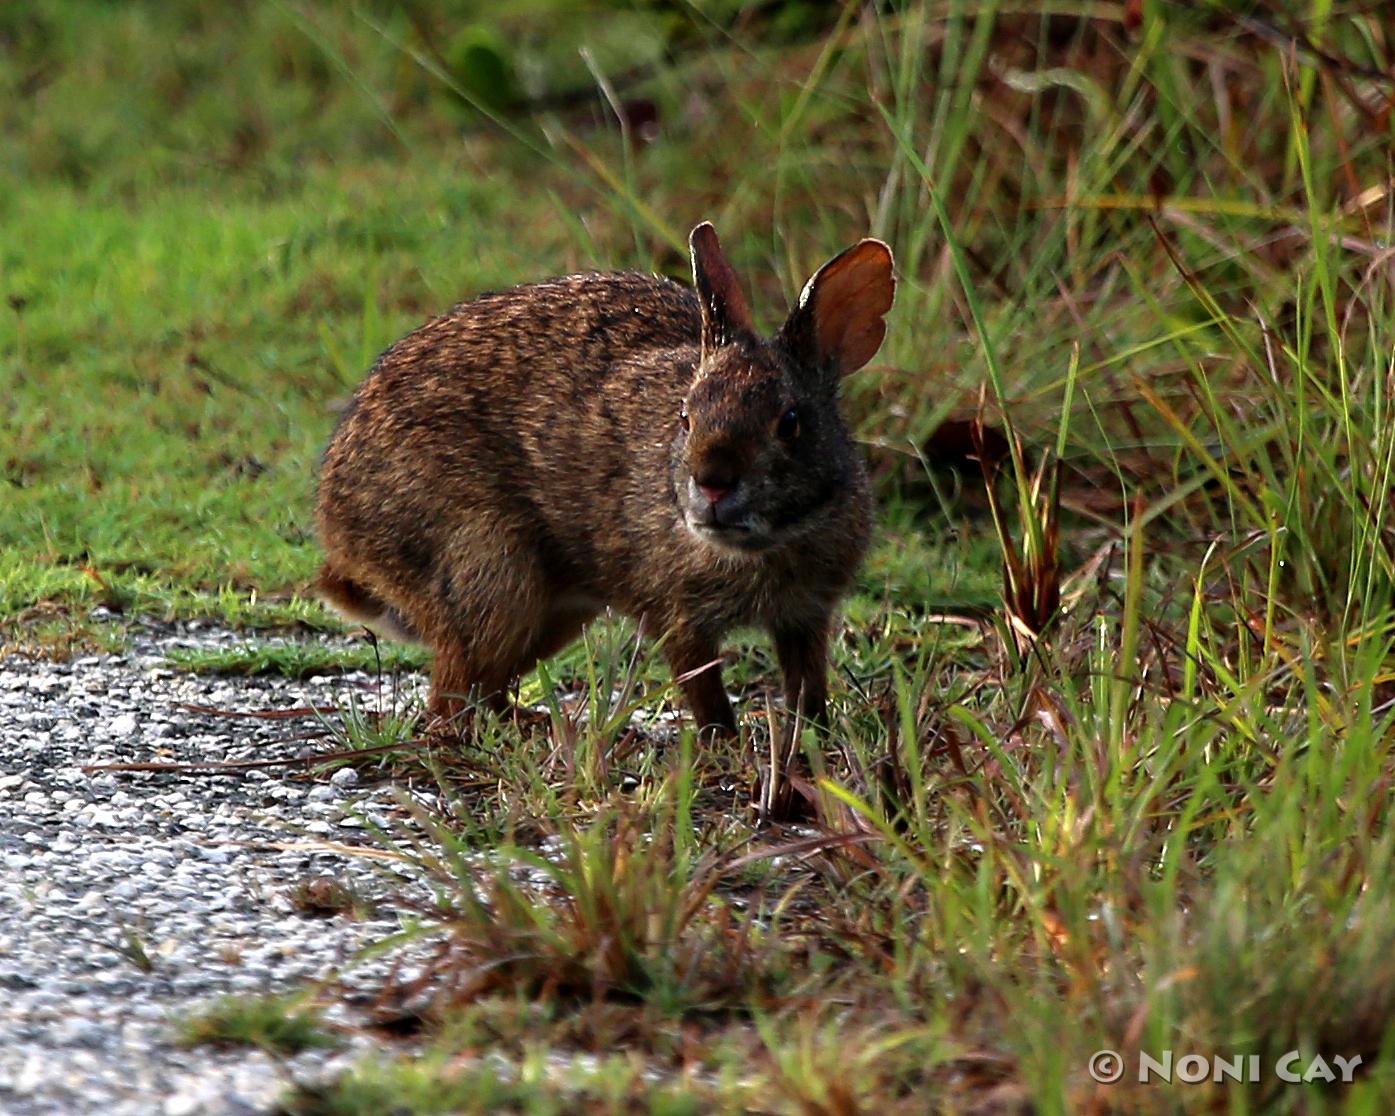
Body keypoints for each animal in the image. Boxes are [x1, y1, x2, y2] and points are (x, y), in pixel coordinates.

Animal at [315, 222, 894, 742]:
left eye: (790, 423)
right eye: (686, 417)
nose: (712, 483)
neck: (763, 544)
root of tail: (339, 531)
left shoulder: (807, 614)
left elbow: (806, 681)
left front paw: (814, 738)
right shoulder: (678, 615)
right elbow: (703, 687)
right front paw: (724, 745)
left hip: (556, 609)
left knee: (483, 688)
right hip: (490, 569)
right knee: (451, 699)